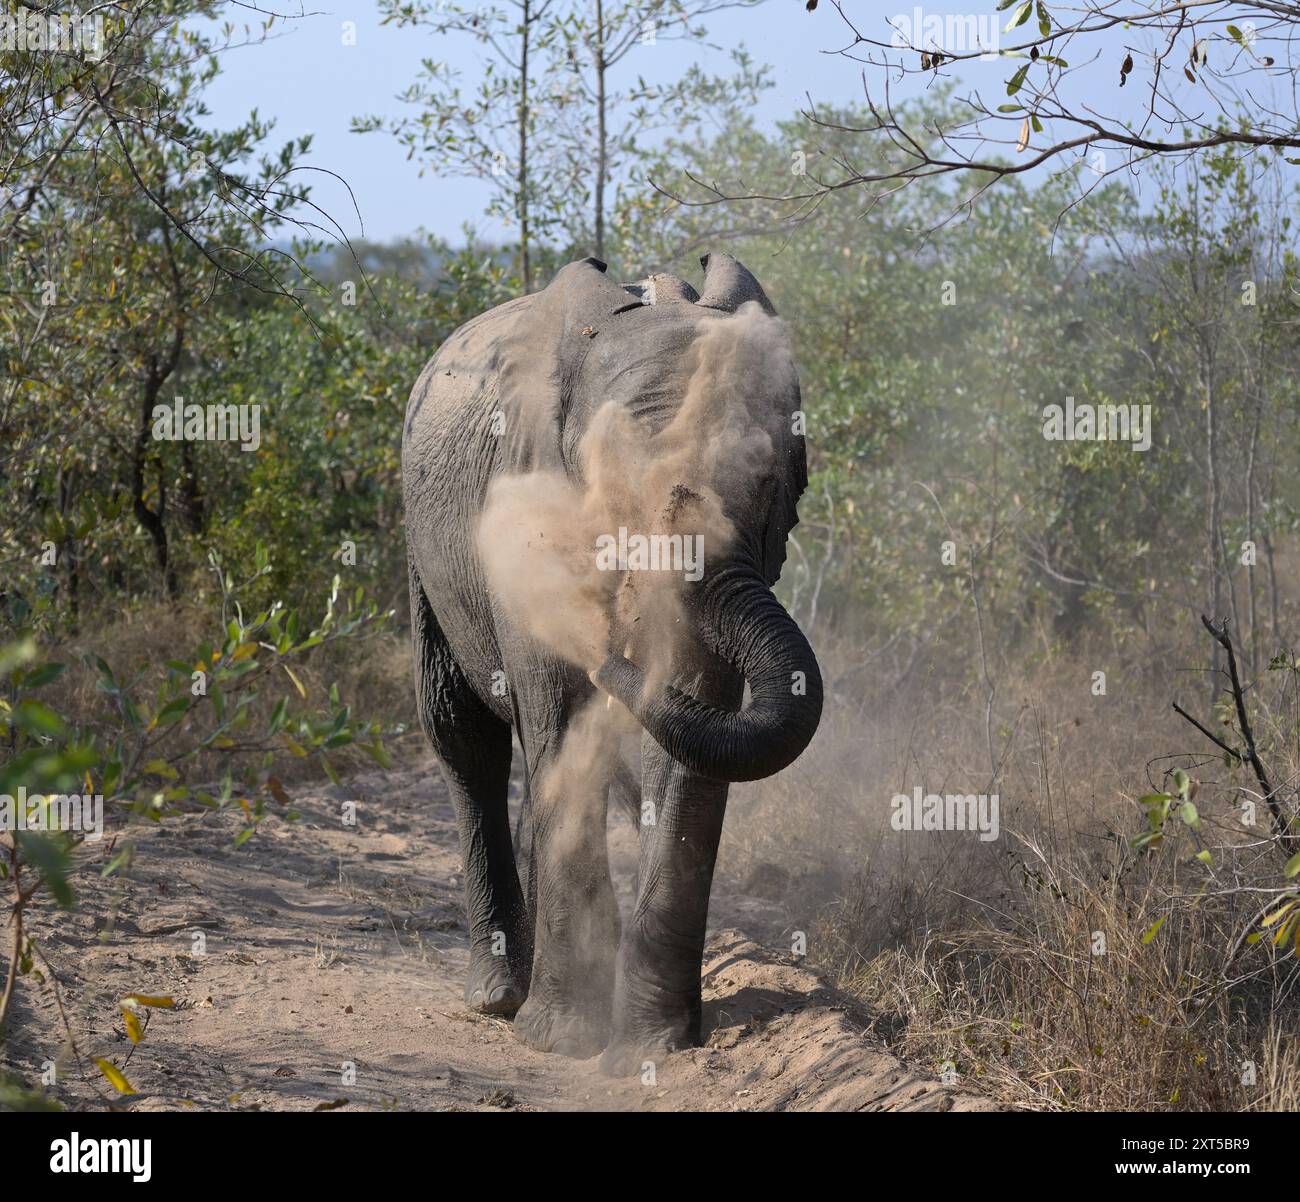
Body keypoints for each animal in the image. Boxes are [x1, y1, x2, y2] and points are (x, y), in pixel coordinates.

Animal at [402, 251, 823, 1075]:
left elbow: (690, 731)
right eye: (619, 494)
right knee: (465, 734)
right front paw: (561, 1041)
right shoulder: (523, 511)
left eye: (770, 486)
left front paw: (650, 1049)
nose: (610, 653)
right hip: (419, 541)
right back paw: (500, 997)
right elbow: (559, 715)